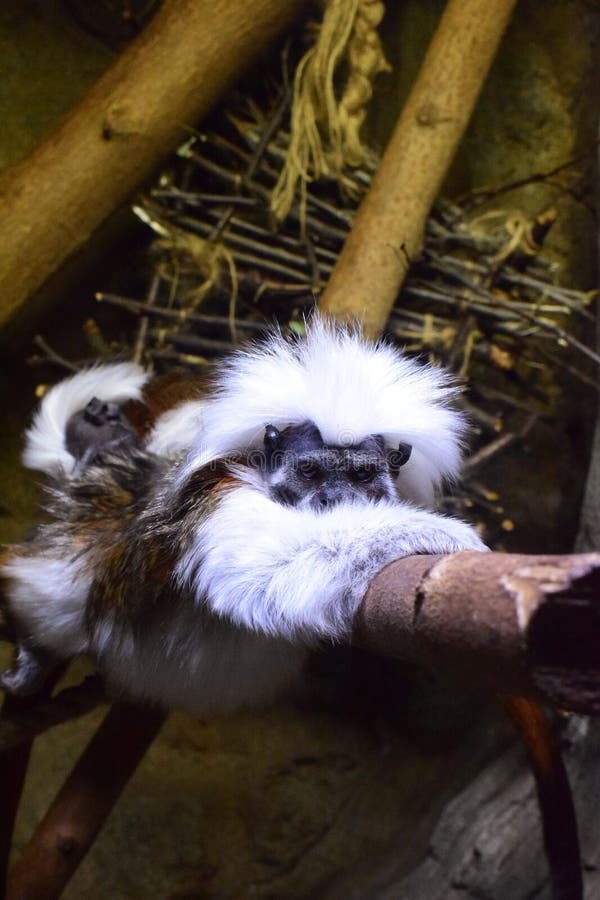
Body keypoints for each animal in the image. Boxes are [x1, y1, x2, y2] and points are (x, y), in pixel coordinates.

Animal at [0, 316, 487, 709]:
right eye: (309, 471)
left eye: (362, 475)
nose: (334, 500)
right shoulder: (222, 499)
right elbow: (274, 566)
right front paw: (443, 535)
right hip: (65, 571)